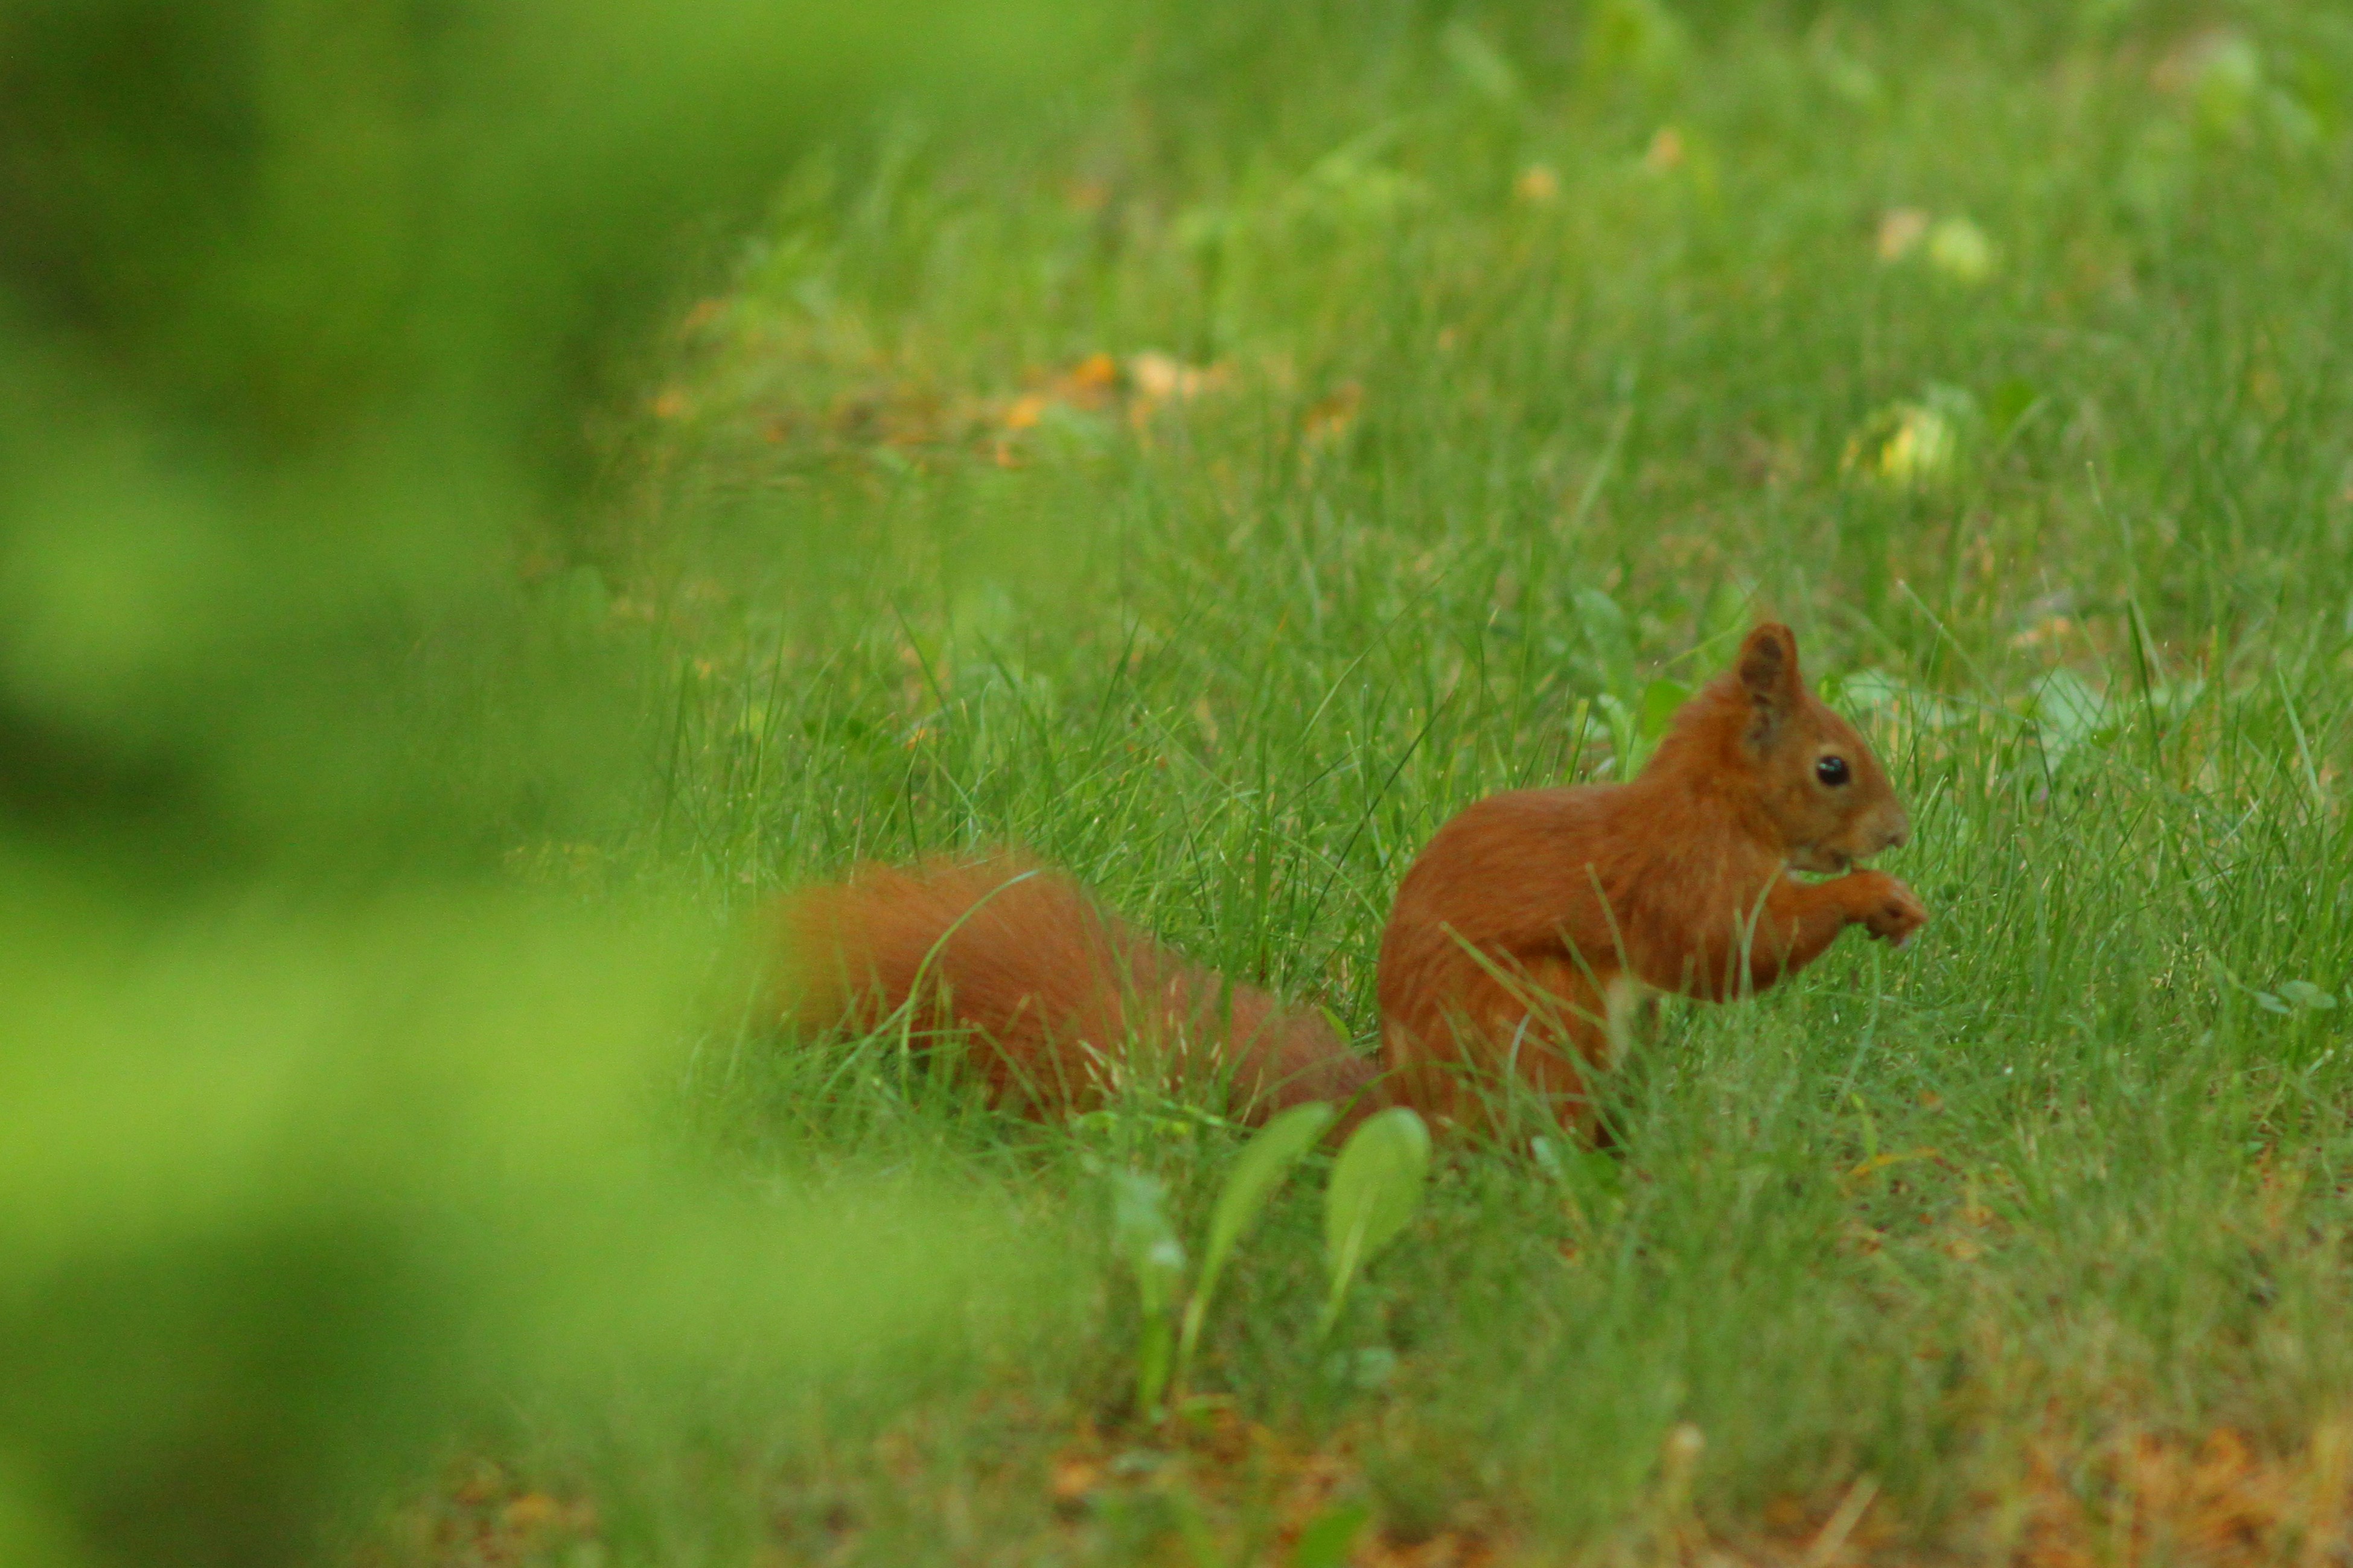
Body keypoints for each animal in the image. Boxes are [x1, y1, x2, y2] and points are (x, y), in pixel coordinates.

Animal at [770, 623, 1923, 1138]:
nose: (1898, 831)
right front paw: (1869, 900)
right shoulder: (1673, 874)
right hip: (1537, 1026)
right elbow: (1726, 949)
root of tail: (1401, 1114)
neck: (1711, 802)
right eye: (1831, 765)